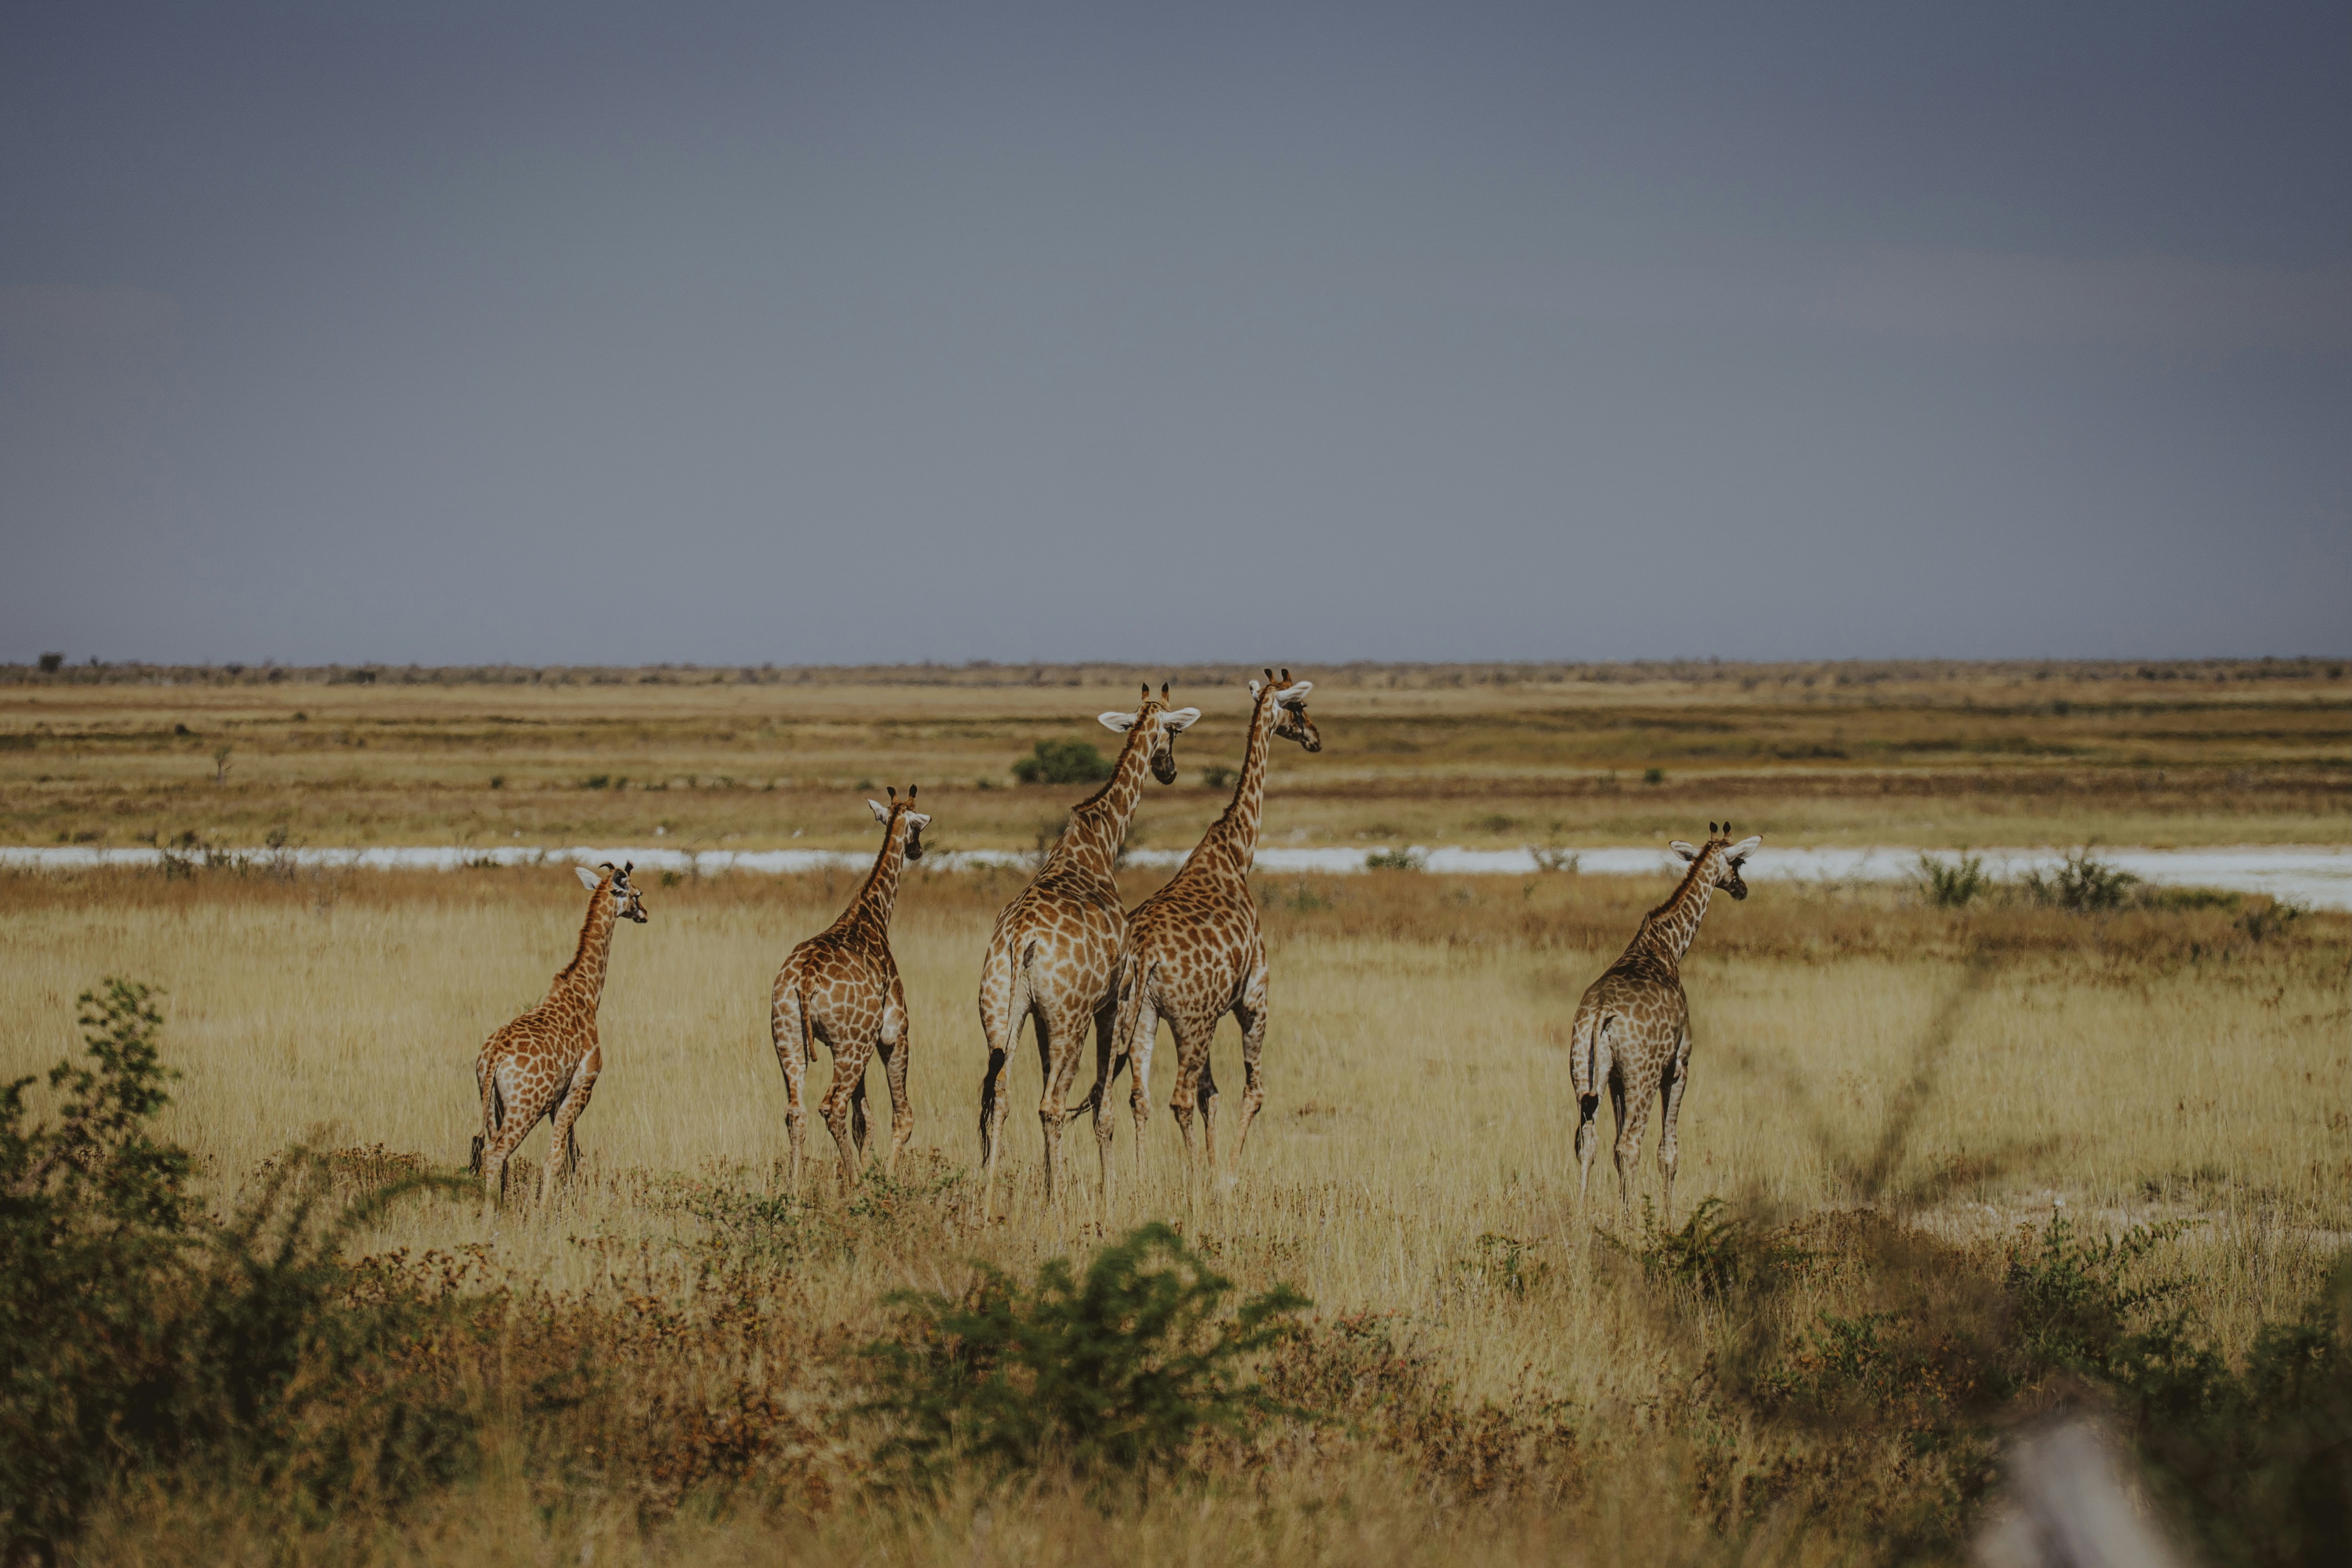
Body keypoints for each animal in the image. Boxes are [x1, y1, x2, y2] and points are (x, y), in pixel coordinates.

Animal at [470, 861, 648, 1219]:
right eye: (636, 893)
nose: (645, 914)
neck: (587, 993)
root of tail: (493, 1058)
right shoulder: (582, 1086)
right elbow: (556, 1156)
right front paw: (544, 1213)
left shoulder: (559, 1096)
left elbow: (571, 1155)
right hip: (526, 1106)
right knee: (497, 1153)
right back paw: (491, 1218)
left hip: (493, 1103)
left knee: (493, 1153)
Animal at [769, 786, 930, 1193]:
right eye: (919, 826)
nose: (917, 850)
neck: (873, 914)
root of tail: (806, 978)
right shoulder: (893, 1033)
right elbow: (901, 1117)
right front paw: (884, 1180)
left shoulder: (854, 1042)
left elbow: (865, 1121)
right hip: (852, 1045)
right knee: (832, 1106)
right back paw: (856, 1183)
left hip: (790, 1036)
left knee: (796, 1111)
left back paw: (793, 1191)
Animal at [975, 682, 1200, 1214]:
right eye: (1175, 731)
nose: (1168, 770)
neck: (1100, 844)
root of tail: (1021, 938)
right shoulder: (1110, 1002)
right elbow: (1103, 1105)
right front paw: (1111, 1194)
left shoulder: (1040, 1016)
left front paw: (1050, 1180)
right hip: (1071, 1017)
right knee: (1052, 1104)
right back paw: (1057, 1206)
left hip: (1001, 1010)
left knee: (1002, 1096)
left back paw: (989, 1199)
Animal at [1074, 669, 1320, 1206]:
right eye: (1298, 707)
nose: (1316, 738)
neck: (1236, 852)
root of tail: (1144, 951)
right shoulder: (1252, 996)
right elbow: (1251, 1091)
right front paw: (1223, 1176)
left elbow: (1212, 1094)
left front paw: (1208, 1170)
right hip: (1191, 1019)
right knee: (1180, 1096)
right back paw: (1190, 1183)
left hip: (1140, 1015)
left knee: (1138, 1095)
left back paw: (1140, 1180)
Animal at [1569, 824, 1760, 1219]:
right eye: (1740, 861)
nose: (1742, 889)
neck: (1668, 946)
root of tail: (1600, 1014)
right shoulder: (1678, 1065)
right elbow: (1668, 1151)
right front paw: (1669, 1220)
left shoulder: (1615, 1079)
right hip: (1643, 1075)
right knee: (1629, 1144)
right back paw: (1630, 1222)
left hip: (1584, 1071)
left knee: (1588, 1140)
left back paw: (1580, 1216)